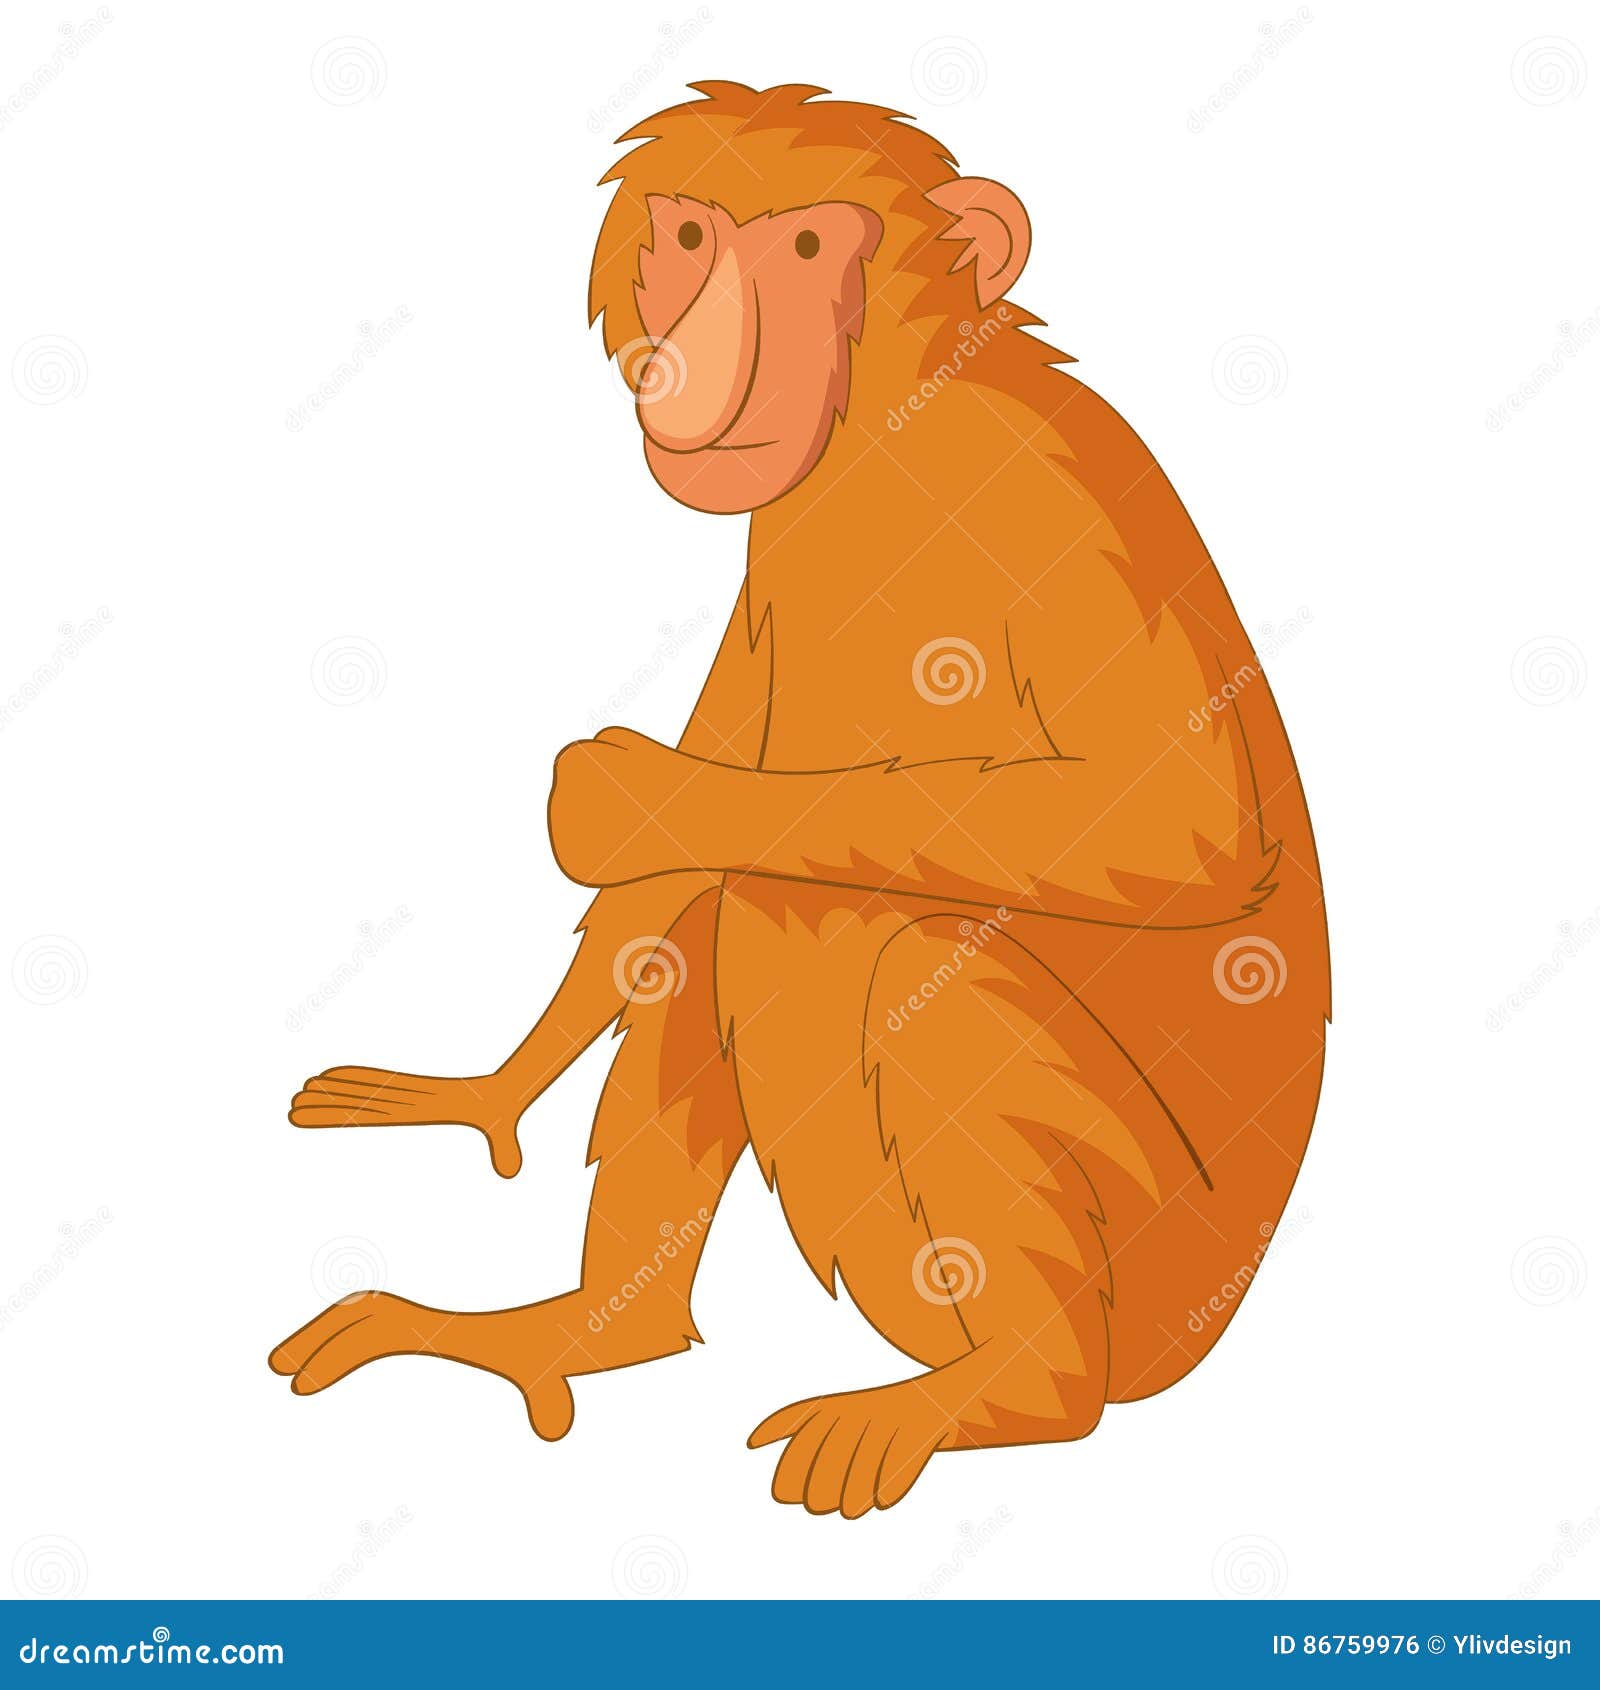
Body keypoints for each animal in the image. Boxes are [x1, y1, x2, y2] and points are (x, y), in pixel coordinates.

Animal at [270, 83, 1329, 1519]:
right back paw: (589, 1329)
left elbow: (1168, 822)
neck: (887, 444)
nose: (706, 346)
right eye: (692, 236)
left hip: (1157, 1285)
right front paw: (488, 1089)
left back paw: (1007, 1388)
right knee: (725, 916)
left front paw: (624, 794)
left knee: (903, 946)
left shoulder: (1051, 497)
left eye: (814, 250)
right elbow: (674, 877)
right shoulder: (770, 550)